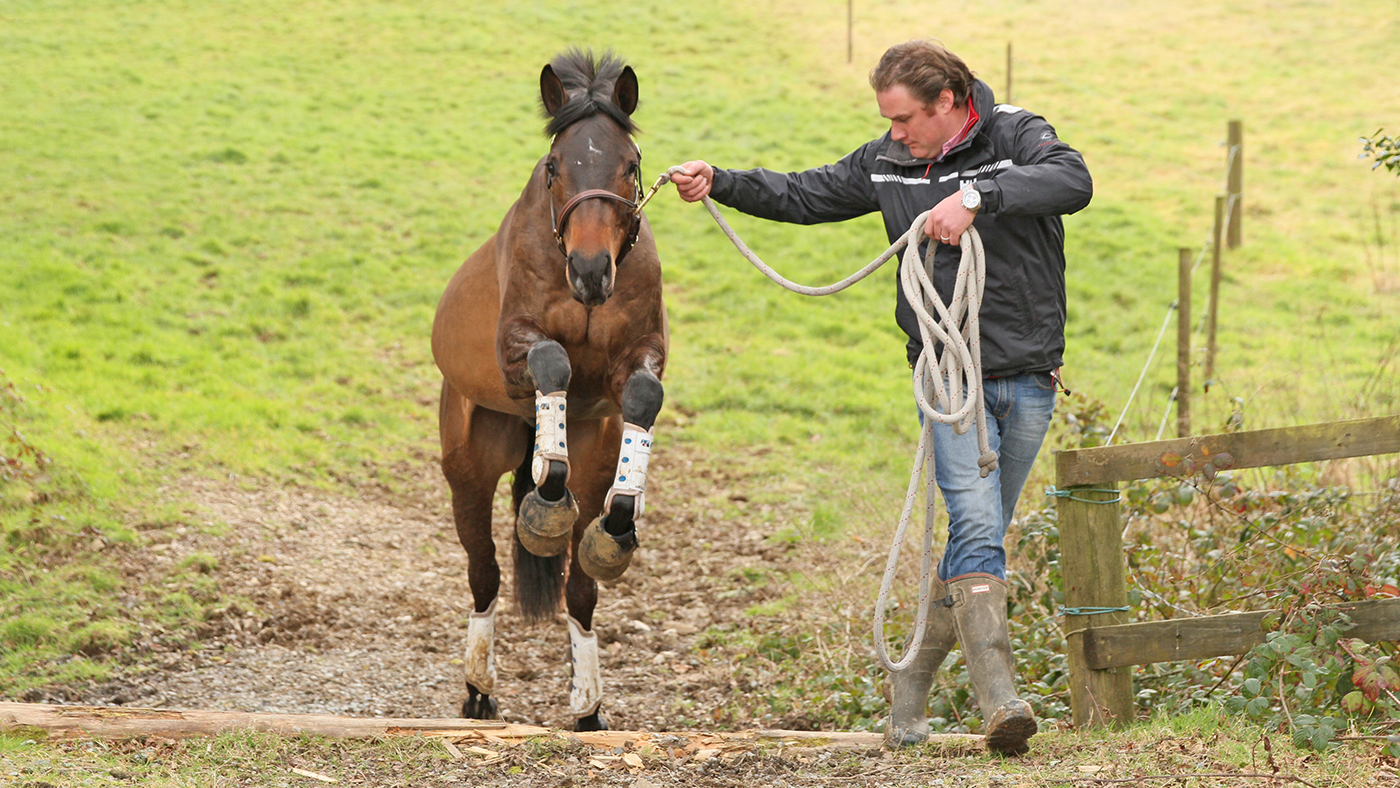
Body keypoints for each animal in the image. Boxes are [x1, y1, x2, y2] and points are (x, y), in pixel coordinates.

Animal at [430, 50, 667, 733]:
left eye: (630, 163)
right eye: (556, 166)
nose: (590, 271)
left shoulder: (638, 361)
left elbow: (642, 397)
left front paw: (620, 515)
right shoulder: (517, 351)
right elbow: (551, 362)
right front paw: (548, 490)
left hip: (591, 453)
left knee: (579, 587)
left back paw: (587, 703)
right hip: (468, 466)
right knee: (483, 573)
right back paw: (479, 687)